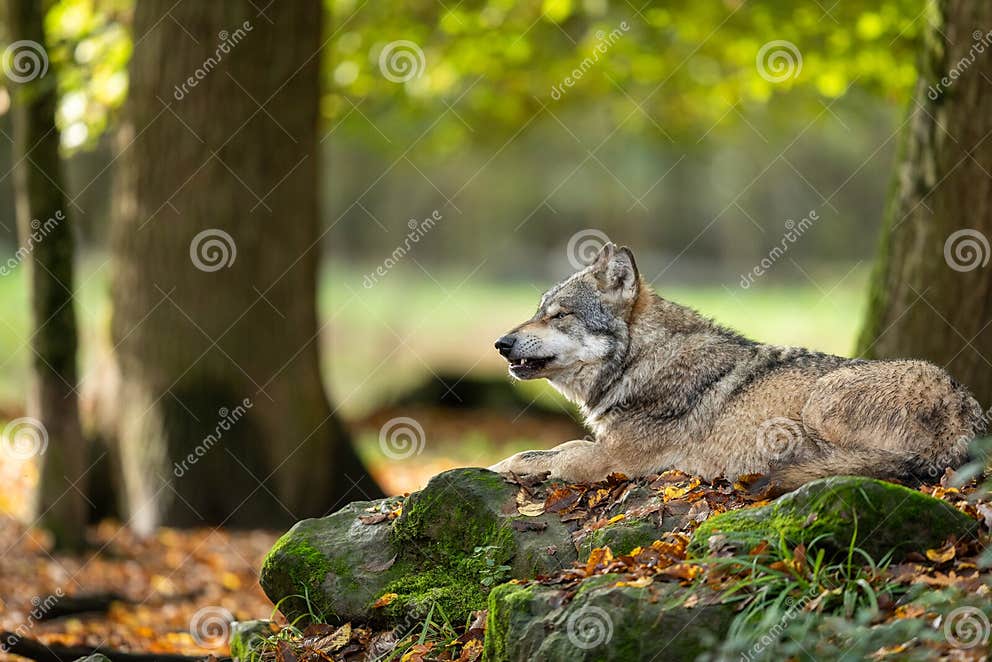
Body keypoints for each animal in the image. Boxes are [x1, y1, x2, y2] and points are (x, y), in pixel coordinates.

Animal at [489, 242, 985, 490]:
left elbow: (543, 455)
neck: (642, 360)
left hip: (821, 401)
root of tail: (963, 413)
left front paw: (498, 467)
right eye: (539, 311)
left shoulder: (612, 460)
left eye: (559, 315)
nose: (501, 343)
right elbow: (546, 449)